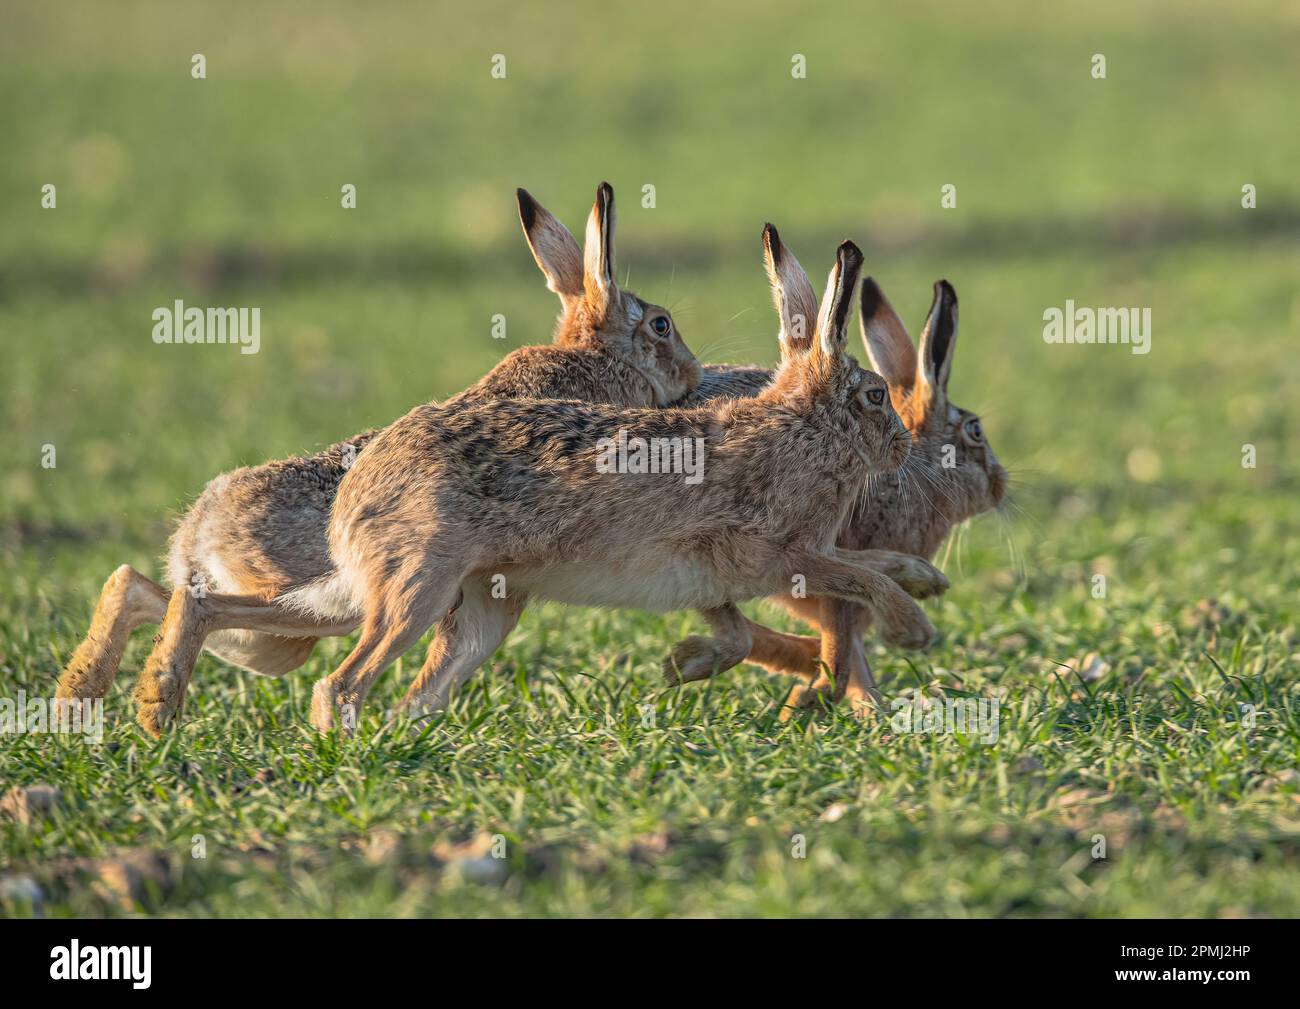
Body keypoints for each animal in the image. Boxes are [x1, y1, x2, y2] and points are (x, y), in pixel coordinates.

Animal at [297, 233, 941, 732]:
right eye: (876, 396)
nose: (902, 446)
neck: (807, 428)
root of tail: (352, 499)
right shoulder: (778, 555)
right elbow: (862, 577)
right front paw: (914, 630)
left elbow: (875, 562)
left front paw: (927, 580)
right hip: (419, 584)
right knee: (343, 682)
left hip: (483, 608)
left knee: (420, 694)